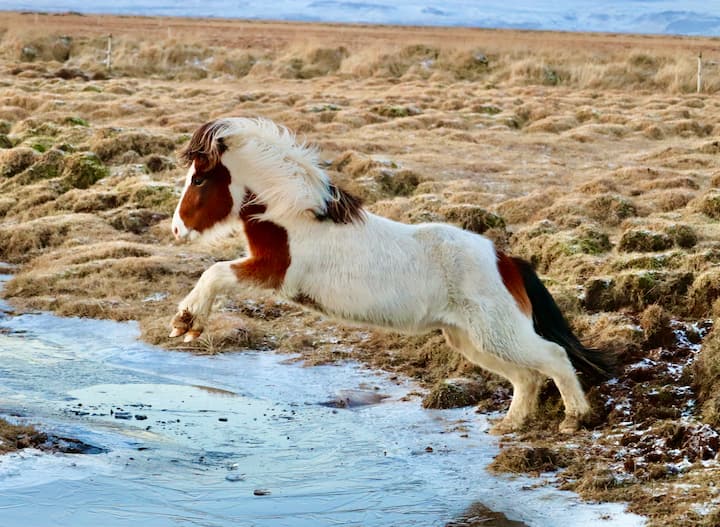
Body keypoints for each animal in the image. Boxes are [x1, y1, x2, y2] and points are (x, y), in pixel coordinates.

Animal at [169, 117, 615, 434]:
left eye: (199, 179)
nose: (176, 230)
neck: (294, 215)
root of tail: (507, 260)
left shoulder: (272, 272)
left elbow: (215, 272)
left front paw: (186, 322)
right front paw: (187, 323)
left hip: (497, 333)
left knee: (553, 358)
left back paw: (575, 418)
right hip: (472, 340)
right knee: (527, 376)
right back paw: (509, 425)